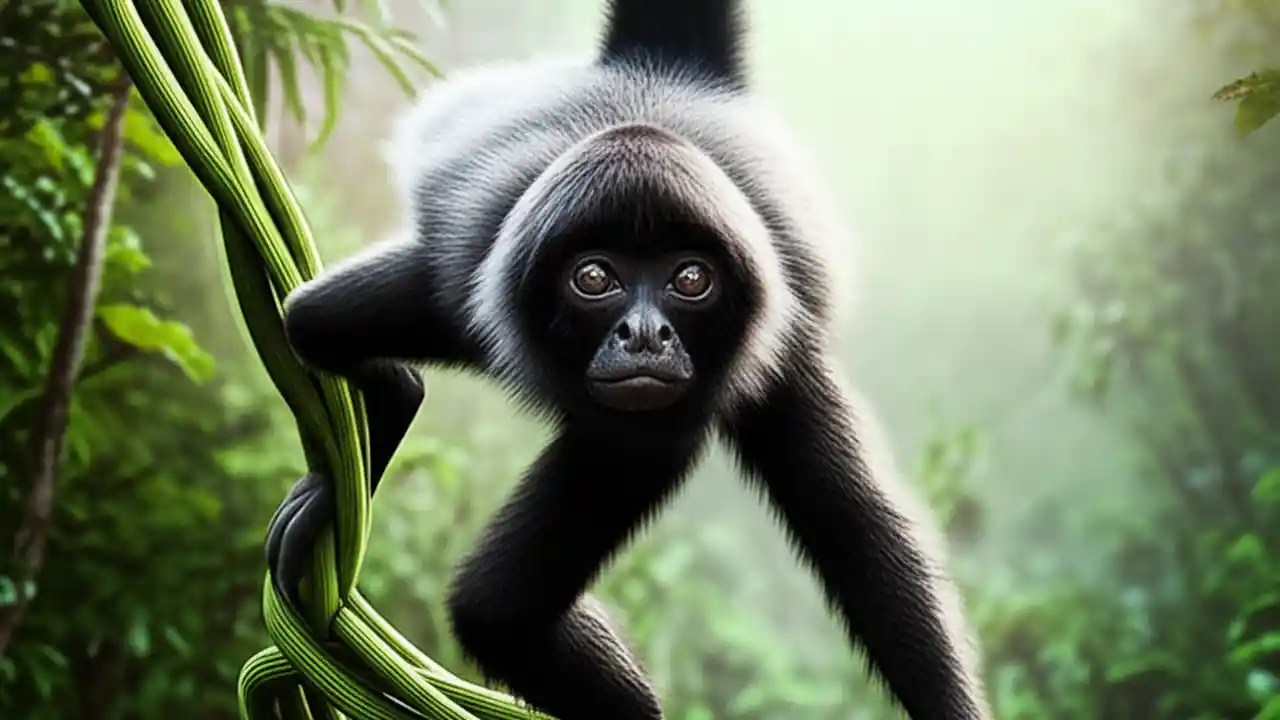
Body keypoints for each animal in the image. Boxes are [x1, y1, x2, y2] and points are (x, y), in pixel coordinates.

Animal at [263, 1, 991, 718]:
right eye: (594, 278)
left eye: (690, 279)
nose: (644, 333)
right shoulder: (466, 289)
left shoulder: (774, 356)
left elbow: (861, 540)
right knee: (314, 320)